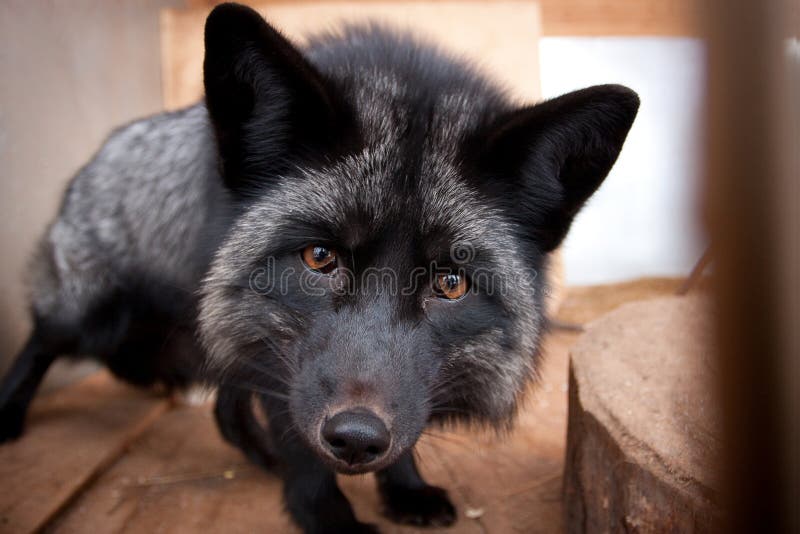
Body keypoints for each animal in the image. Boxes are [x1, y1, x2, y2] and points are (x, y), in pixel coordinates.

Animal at [0, 3, 638, 532]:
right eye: (319, 257)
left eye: (451, 283)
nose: (355, 441)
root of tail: (99, 153)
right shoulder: (283, 358)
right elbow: (304, 450)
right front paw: (326, 518)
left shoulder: (375, 386)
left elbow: (403, 427)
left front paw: (405, 490)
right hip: (99, 316)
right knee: (43, 337)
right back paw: (10, 412)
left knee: (228, 404)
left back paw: (258, 455)